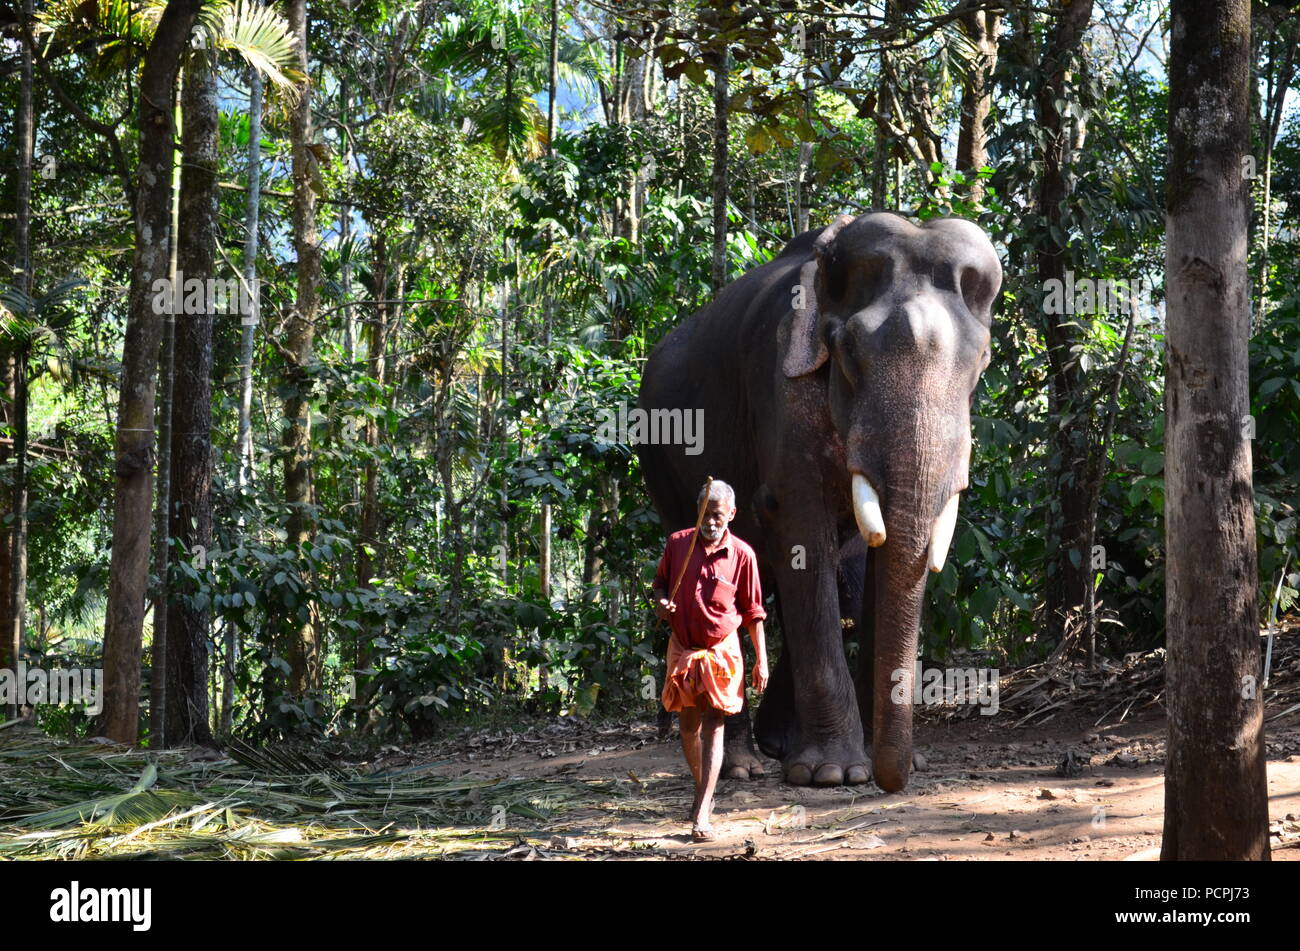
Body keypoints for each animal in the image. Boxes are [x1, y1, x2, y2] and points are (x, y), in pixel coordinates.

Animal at [636, 212, 1002, 791]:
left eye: (983, 361)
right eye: (847, 353)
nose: (894, 779)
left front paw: (891, 763)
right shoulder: (780, 384)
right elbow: (798, 522)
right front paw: (834, 773)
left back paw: (775, 746)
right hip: (659, 454)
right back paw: (740, 764)